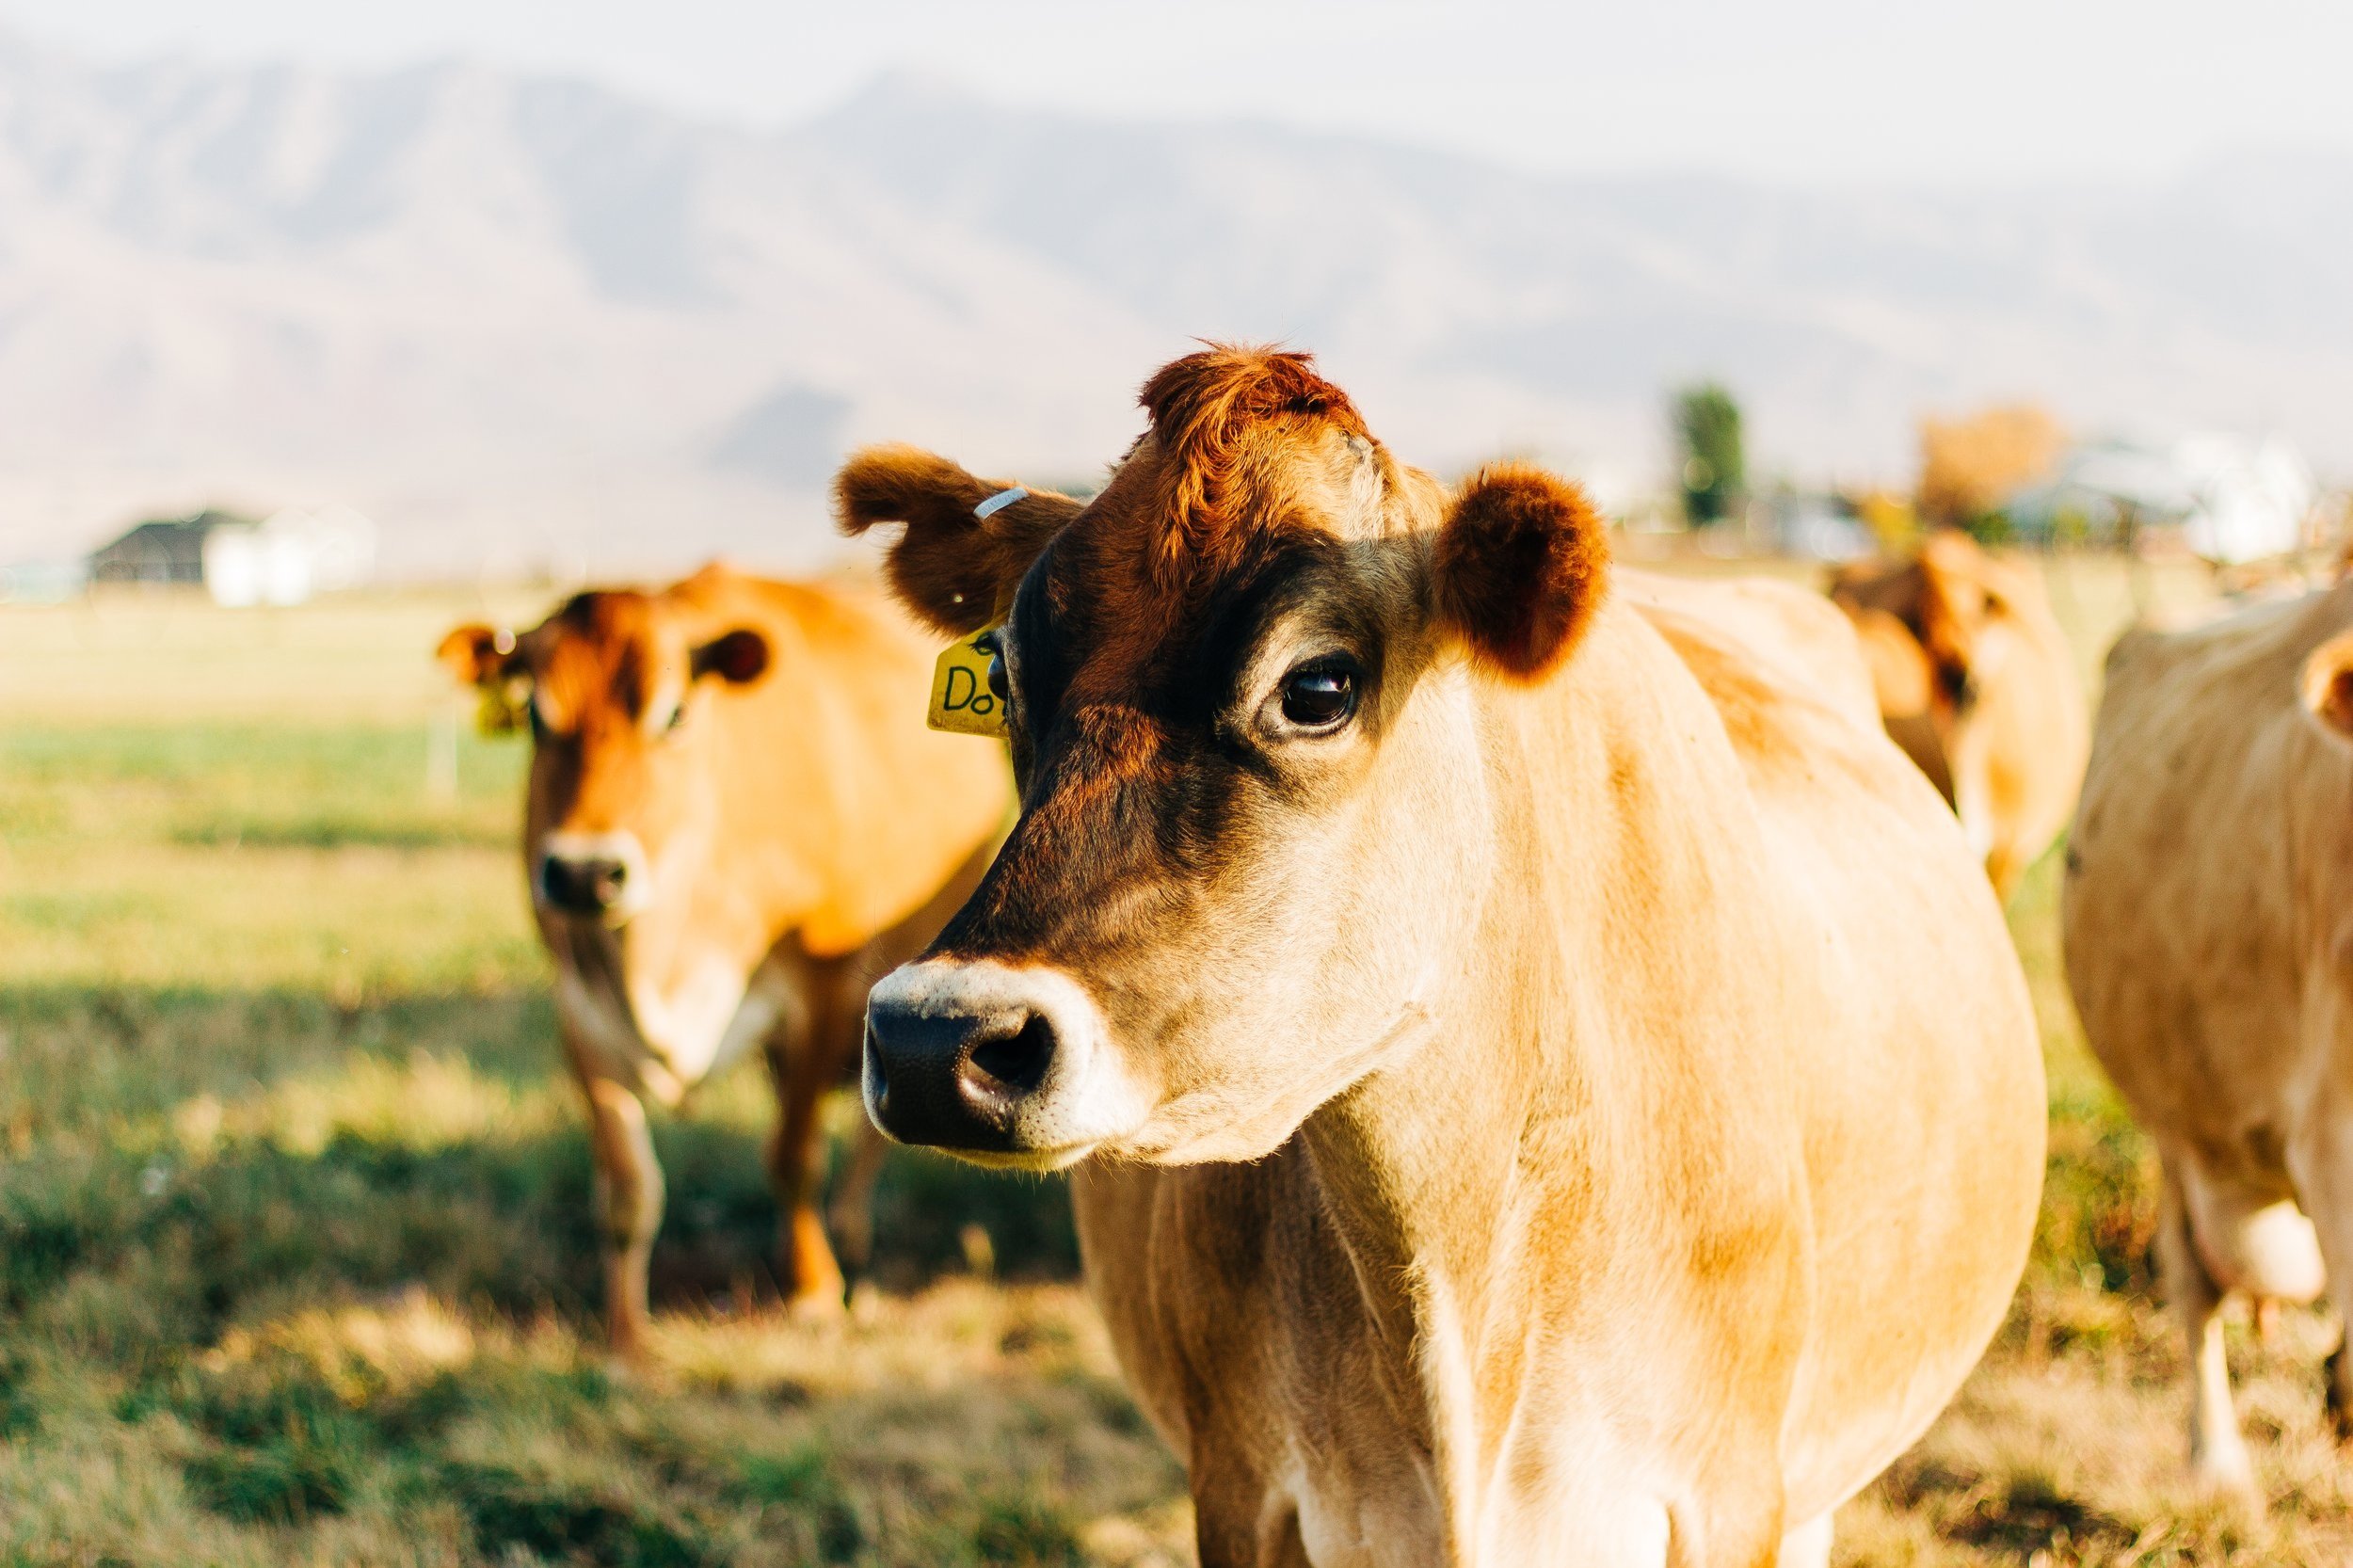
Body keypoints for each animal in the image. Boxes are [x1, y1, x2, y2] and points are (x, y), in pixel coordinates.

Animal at [437, 563, 1015, 1352]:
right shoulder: (580, 1013)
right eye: (533, 717)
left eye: (675, 716)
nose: (585, 873)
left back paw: (847, 1233)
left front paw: (812, 1290)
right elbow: (627, 1189)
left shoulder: (823, 996)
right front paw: (626, 1338)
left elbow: (793, 1156)